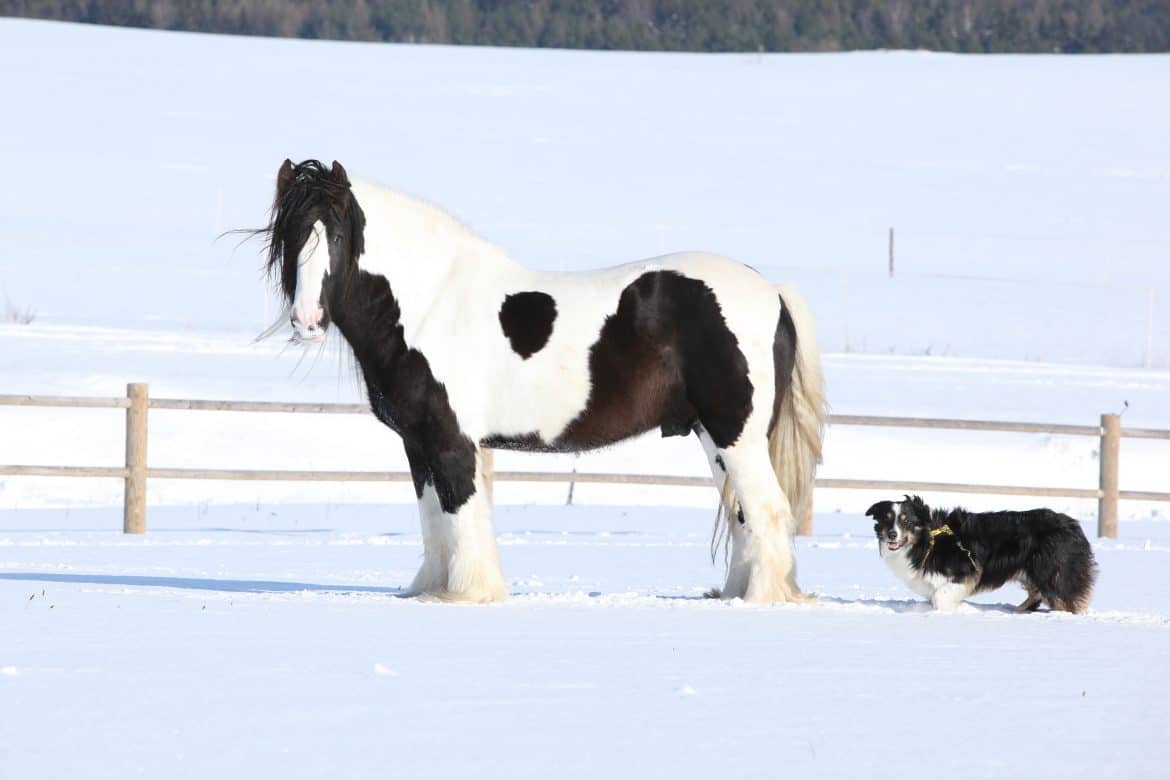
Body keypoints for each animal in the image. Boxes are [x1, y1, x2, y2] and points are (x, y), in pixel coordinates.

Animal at [258, 159, 827, 603]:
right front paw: (432, 588)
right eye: (289, 237)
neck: (433, 302)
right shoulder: (419, 444)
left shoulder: (451, 442)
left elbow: (460, 515)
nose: (306, 322)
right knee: (743, 514)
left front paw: (470, 593)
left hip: (736, 434)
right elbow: (435, 521)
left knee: (768, 510)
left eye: (335, 236)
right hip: (715, 436)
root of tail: (772, 291)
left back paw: (758, 599)